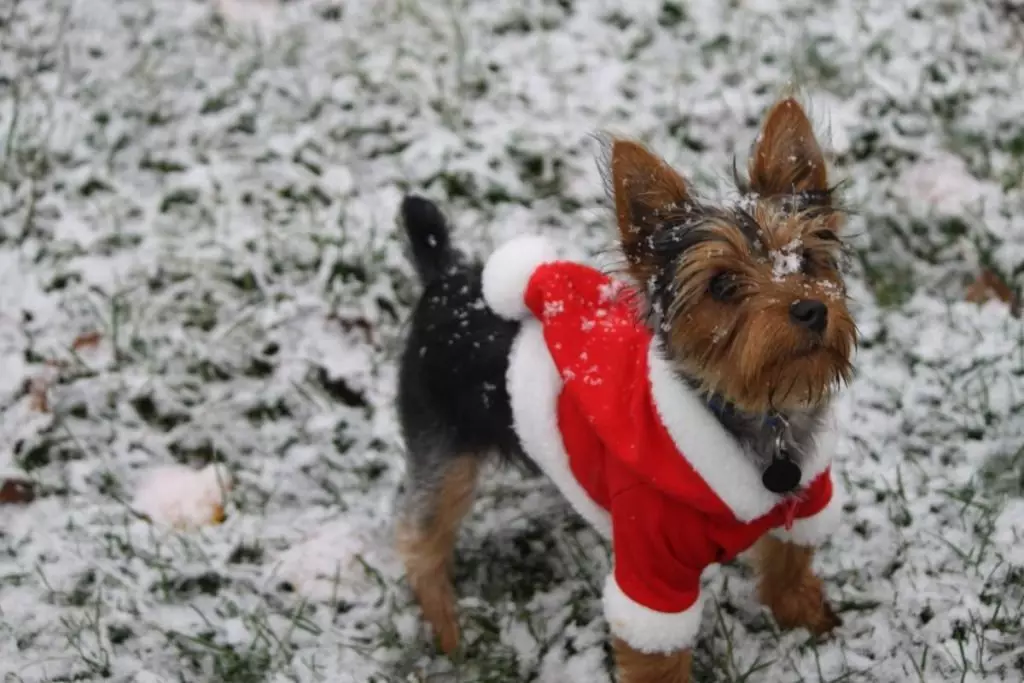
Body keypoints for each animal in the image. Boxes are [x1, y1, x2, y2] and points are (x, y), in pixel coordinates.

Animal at [393, 97, 856, 683]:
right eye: (723, 285)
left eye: (807, 259)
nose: (811, 308)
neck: (758, 412)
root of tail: (446, 279)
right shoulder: (648, 570)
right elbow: (656, 653)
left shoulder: (806, 497)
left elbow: (790, 562)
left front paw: (812, 620)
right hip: (445, 450)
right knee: (421, 540)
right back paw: (450, 633)